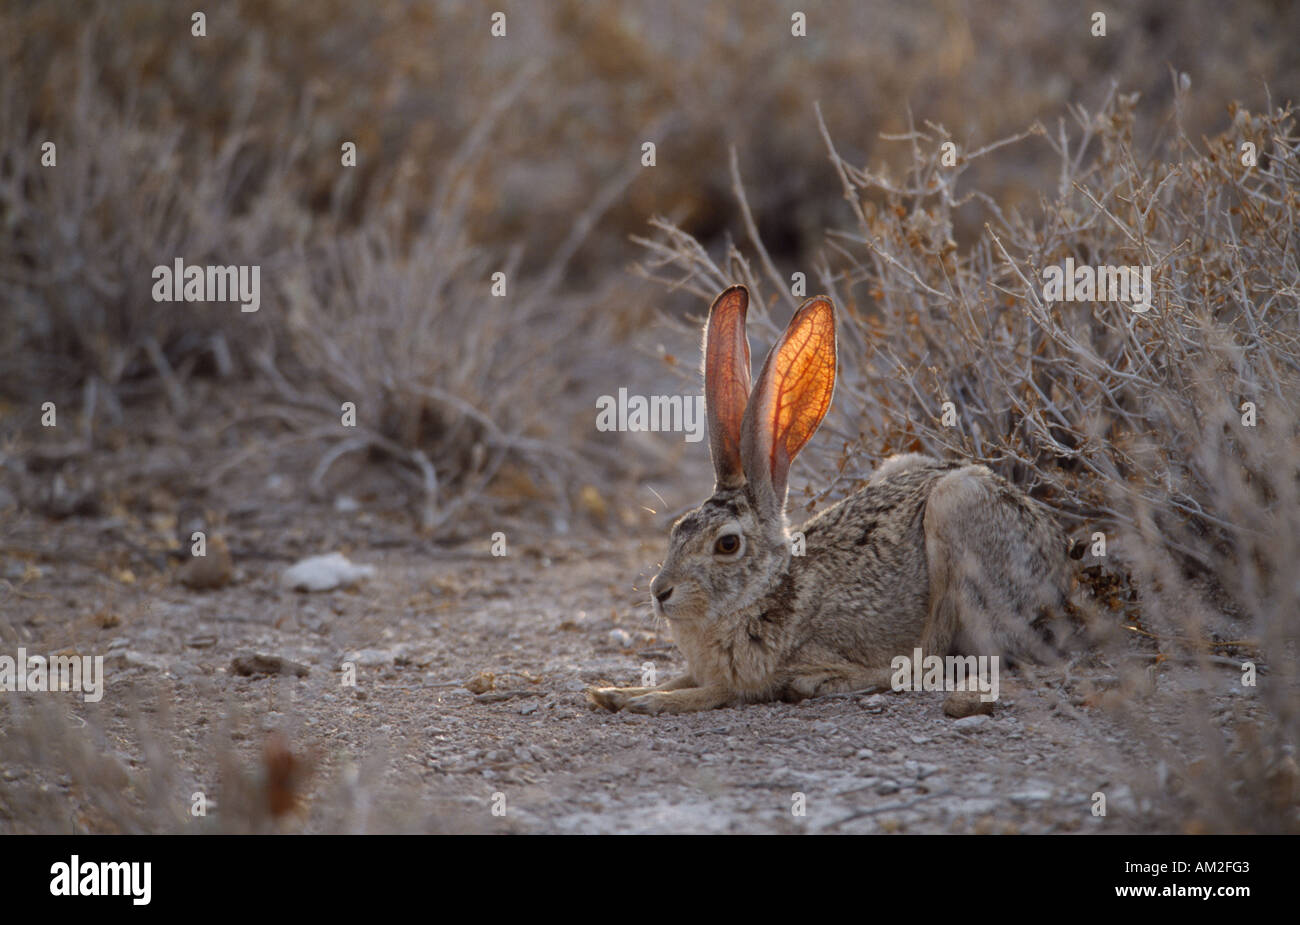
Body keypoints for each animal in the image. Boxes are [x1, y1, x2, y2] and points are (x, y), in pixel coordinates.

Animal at [587, 285, 1072, 714]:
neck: (764, 592)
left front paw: (647, 701)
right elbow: (680, 678)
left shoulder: (752, 677)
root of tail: (1059, 570)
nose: (659, 591)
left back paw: (821, 682)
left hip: (958, 510)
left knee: (940, 658)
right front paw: (614, 692)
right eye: (677, 530)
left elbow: (717, 692)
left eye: (726, 544)